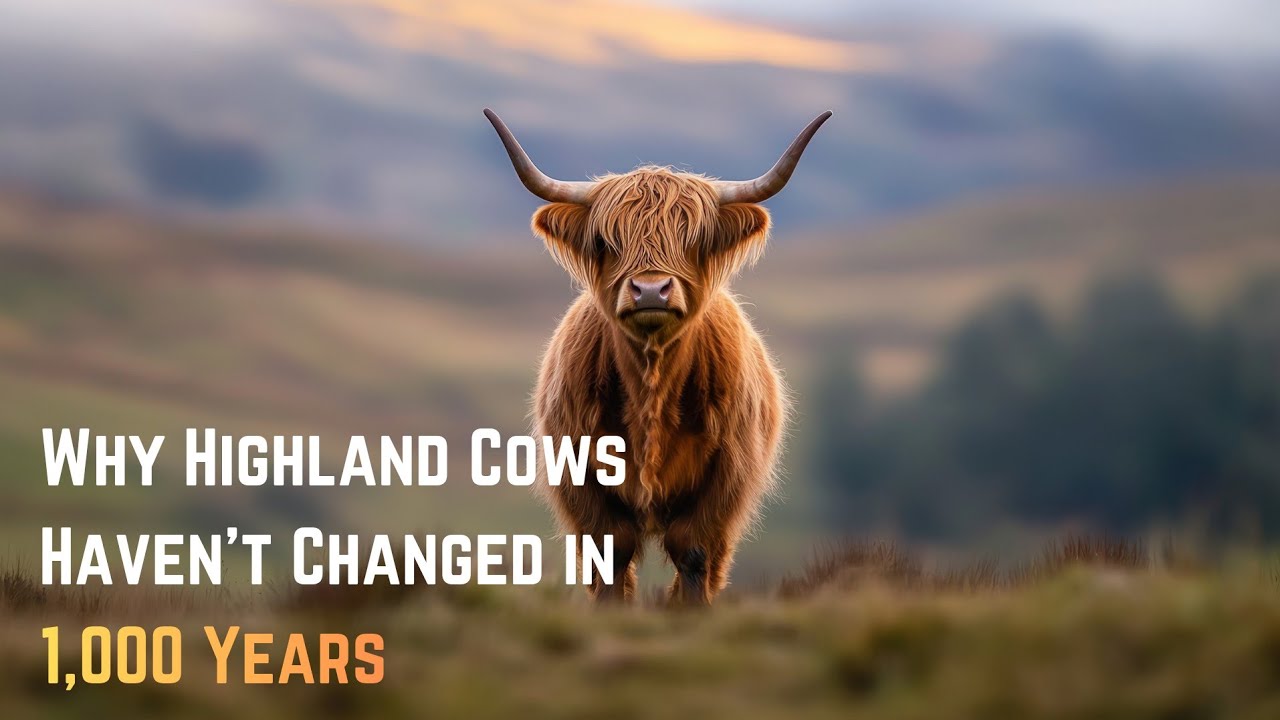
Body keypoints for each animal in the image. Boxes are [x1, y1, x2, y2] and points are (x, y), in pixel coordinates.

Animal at [484, 108, 831, 605]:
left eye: (694, 239)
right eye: (605, 241)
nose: (650, 290)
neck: (651, 387)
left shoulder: (728, 472)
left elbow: (692, 547)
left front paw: (690, 610)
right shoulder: (577, 474)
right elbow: (611, 551)